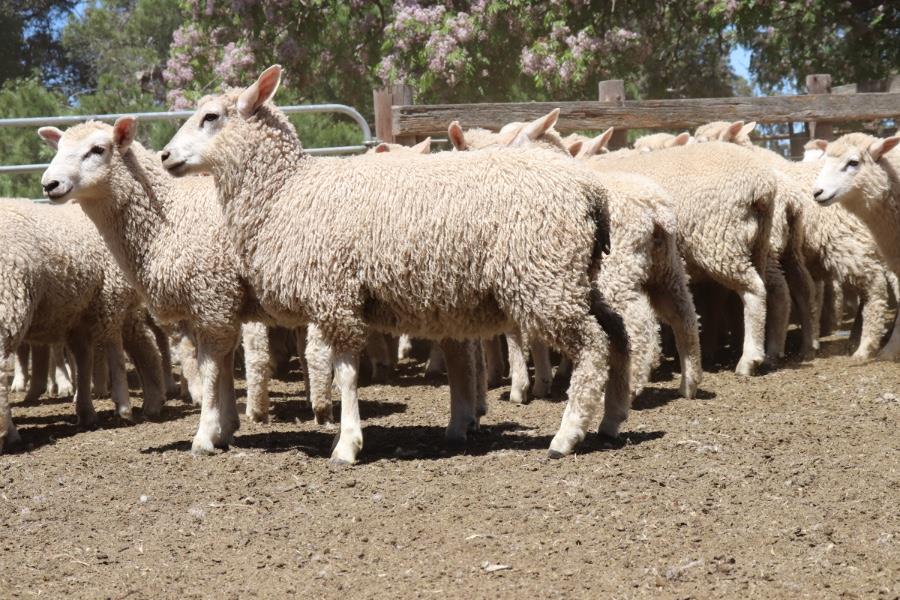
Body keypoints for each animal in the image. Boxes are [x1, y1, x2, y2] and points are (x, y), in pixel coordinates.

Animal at [38, 121, 280, 453]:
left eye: (98, 149)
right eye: (59, 148)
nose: (50, 184)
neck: (171, 215)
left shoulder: (213, 296)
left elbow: (210, 367)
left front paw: (205, 435)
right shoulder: (219, 302)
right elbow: (224, 363)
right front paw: (226, 427)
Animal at [160, 65, 619, 463]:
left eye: (211, 117)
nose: (165, 155)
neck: (286, 190)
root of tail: (589, 190)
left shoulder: (336, 296)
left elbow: (346, 374)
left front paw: (347, 443)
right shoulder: (338, 298)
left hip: (545, 276)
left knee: (593, 347)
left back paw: (568, 434)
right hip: (572, 275)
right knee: (618, 334)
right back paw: (613, 419)